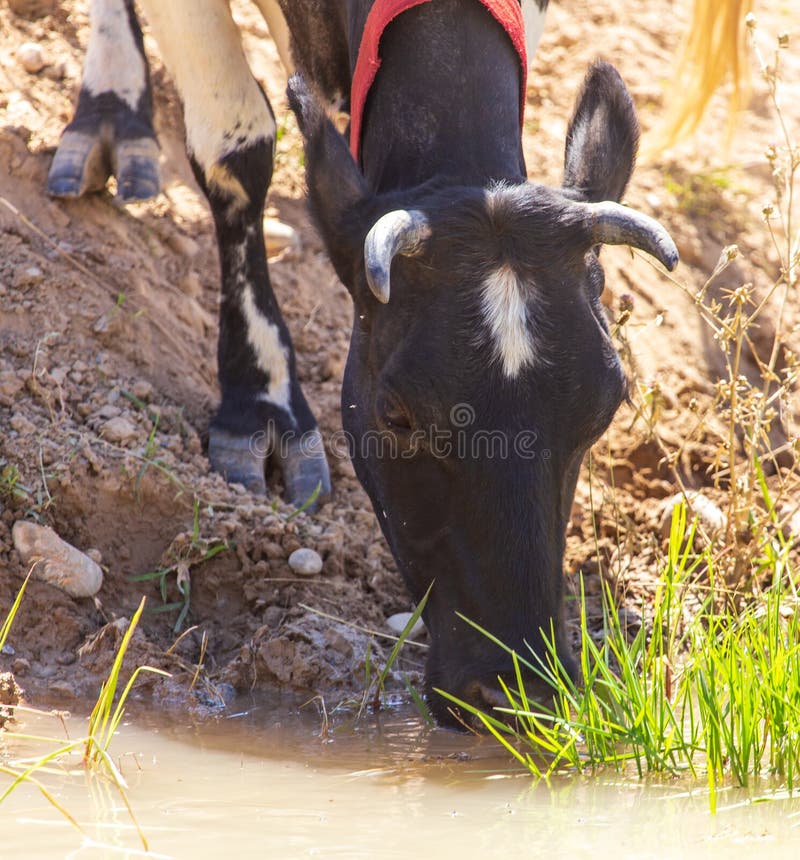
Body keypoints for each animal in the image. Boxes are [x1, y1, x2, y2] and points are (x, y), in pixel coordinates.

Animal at [49, 0, 678, 727]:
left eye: (604, 411)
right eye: (396, 415)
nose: (515, 690)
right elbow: (238, 147)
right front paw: (260, 404)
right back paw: (111, 114)